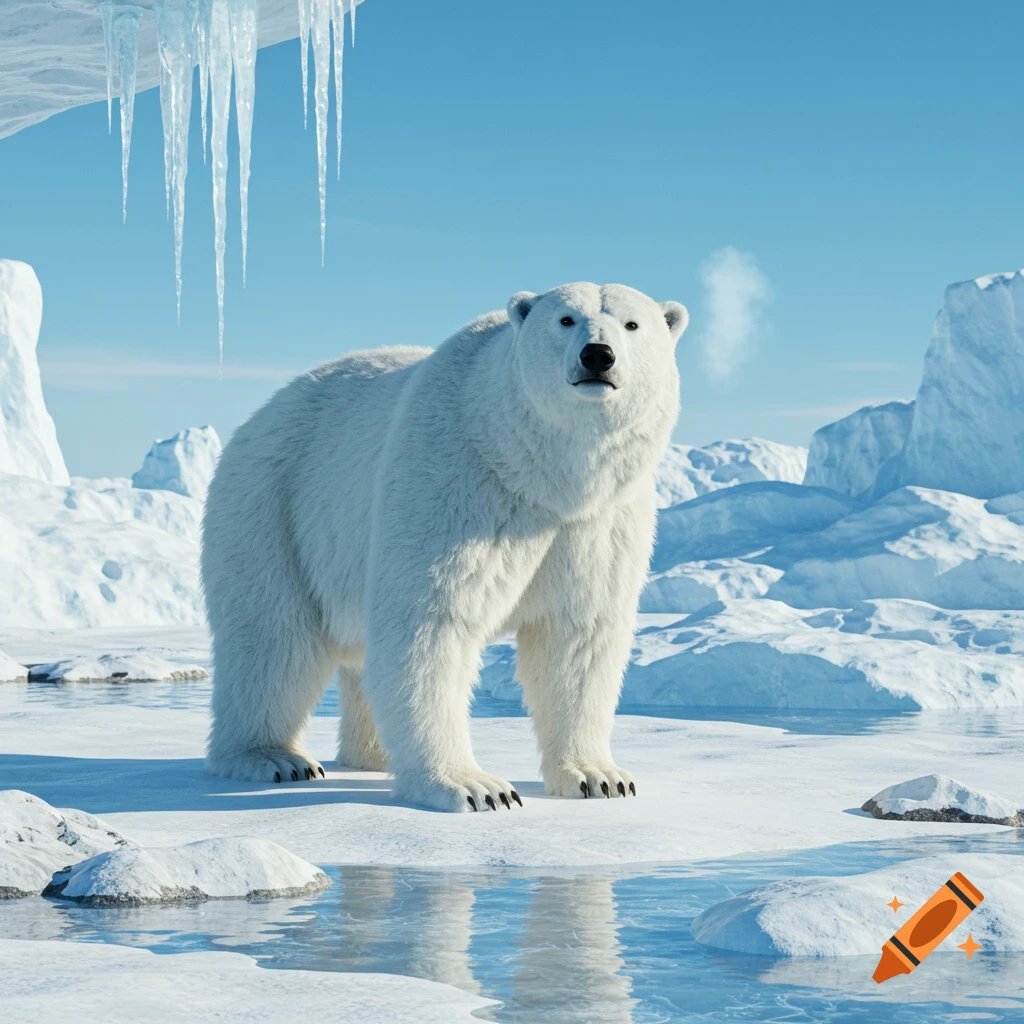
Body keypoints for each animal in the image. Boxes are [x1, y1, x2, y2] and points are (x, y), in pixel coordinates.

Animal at [201, 282, 688, 812]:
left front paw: (601, 777)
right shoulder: (457, 479)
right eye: (565, 319)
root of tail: (259, 417)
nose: (598, 356)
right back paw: (274, 758)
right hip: (276, 507)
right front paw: (476, 787)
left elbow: (579, 637)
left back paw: (373, 755)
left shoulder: (598, 522)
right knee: (272, 640)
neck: (544, 475)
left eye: (632, 324)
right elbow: (433, 622)